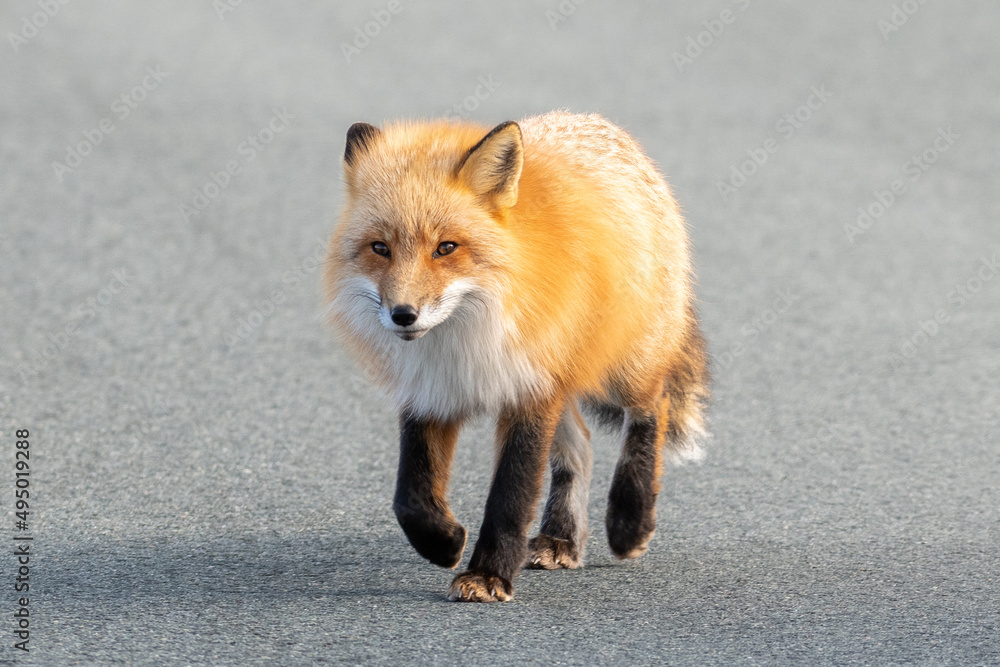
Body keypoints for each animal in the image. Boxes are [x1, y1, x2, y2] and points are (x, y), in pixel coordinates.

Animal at [323, 111, 709, 602]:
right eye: (380, 248)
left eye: (445, 248)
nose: (403, 315)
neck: (466, 337)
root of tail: (596, 122)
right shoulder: (430, 391)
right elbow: (410, 495)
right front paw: (444, 542)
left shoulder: (530, 392)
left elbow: (510, 493)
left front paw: (488, 575)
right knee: (579, 446)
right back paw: (561, 538)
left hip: (623, 366)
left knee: (650, 410)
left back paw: (630, 520)